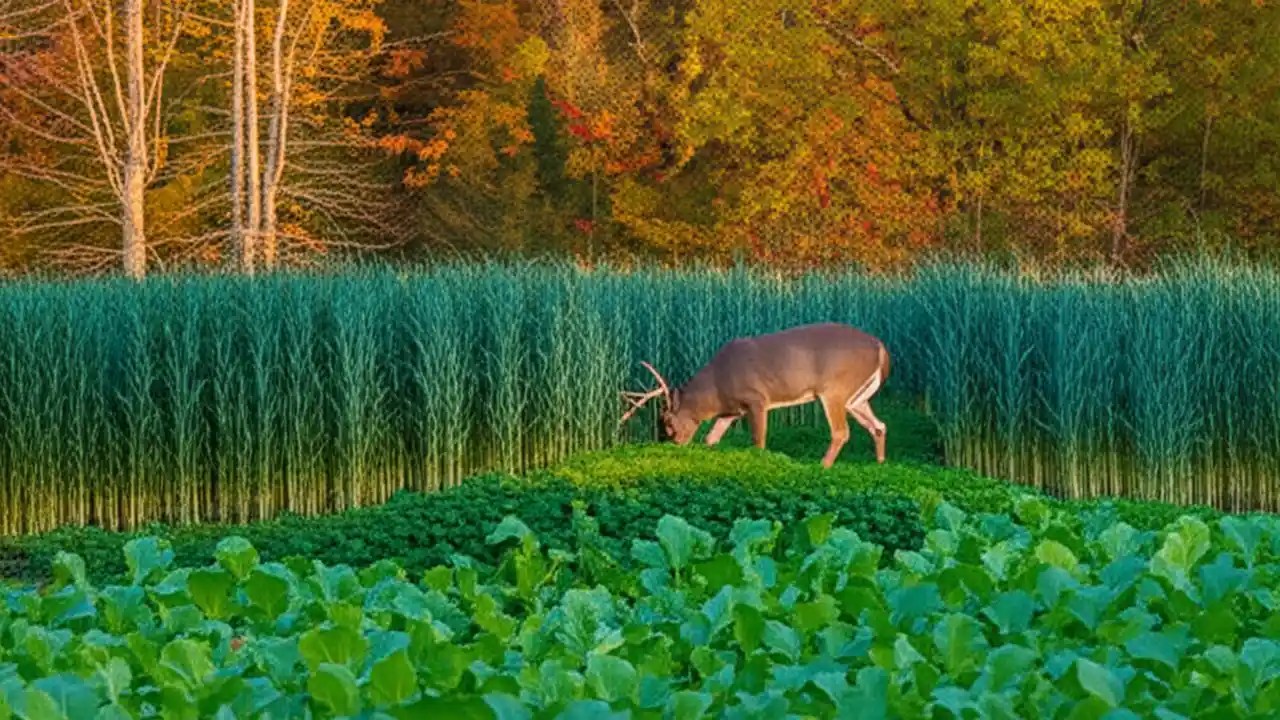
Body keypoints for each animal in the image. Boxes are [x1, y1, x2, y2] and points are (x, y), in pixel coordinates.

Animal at [619, 322, 891, 467]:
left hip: (835, 388)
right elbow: (711, 438)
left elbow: (758, 440)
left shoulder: (756, 398)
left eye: (667, 422)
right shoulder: (731, 411)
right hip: (857, 397)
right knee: (879, 425)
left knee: (841, 431)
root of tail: (880, 347)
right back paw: (879, 462)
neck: (717, 384)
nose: (673, 445)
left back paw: (822, 466)